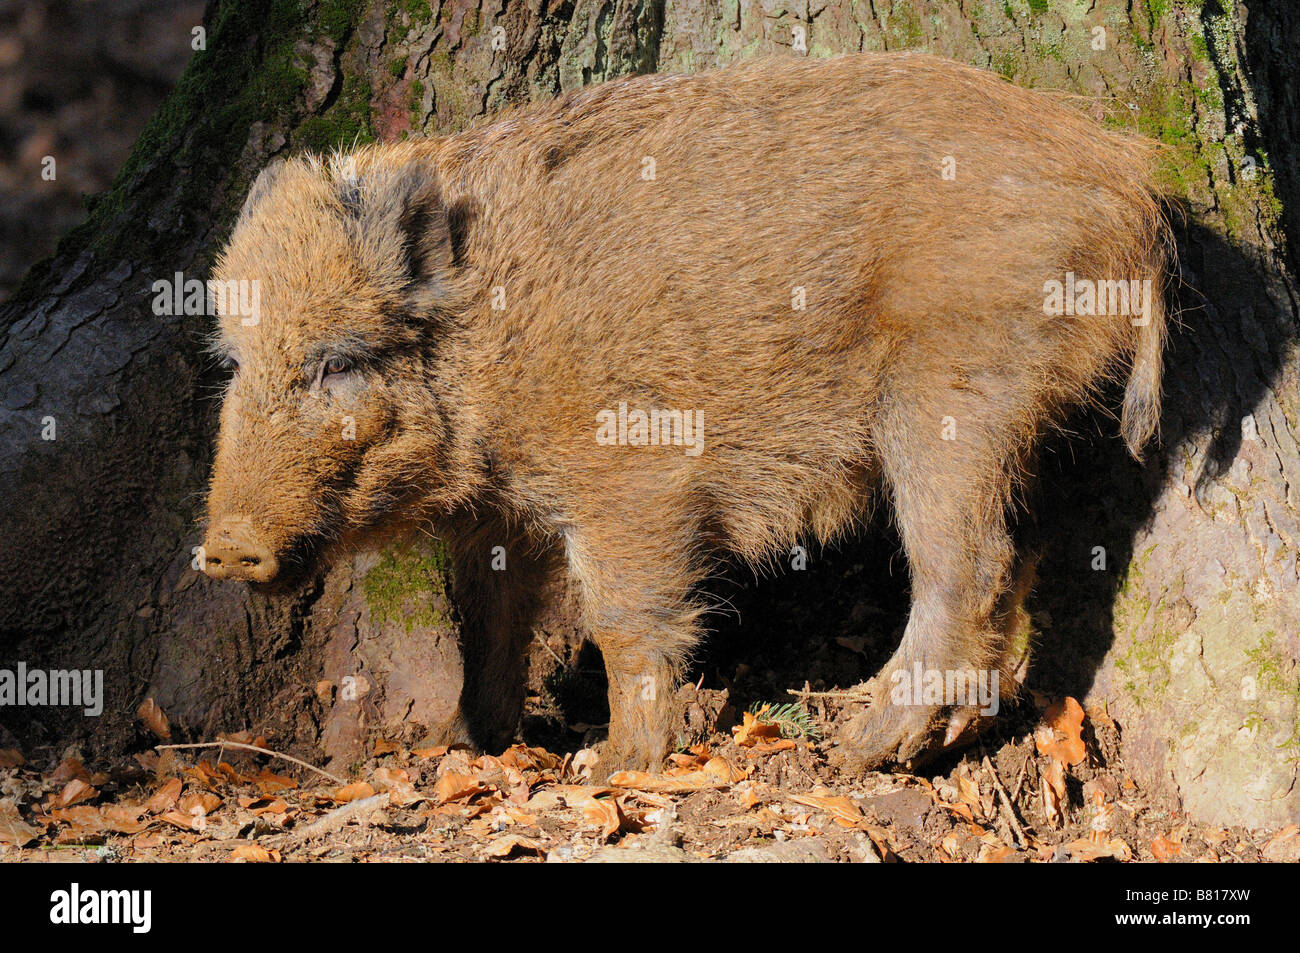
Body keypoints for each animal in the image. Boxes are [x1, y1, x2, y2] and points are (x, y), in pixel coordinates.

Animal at [201, 52, 1170, 774]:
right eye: (235, 364)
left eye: (339, 360)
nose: (223, 546)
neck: (495, 347)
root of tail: (1126, 179)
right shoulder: (498, 513)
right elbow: (488, 619)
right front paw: (461, 746)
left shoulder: (636, 480)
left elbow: (623, 619)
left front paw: (612, 766)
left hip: (953, 396)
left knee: (970, 567)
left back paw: (862, 748)